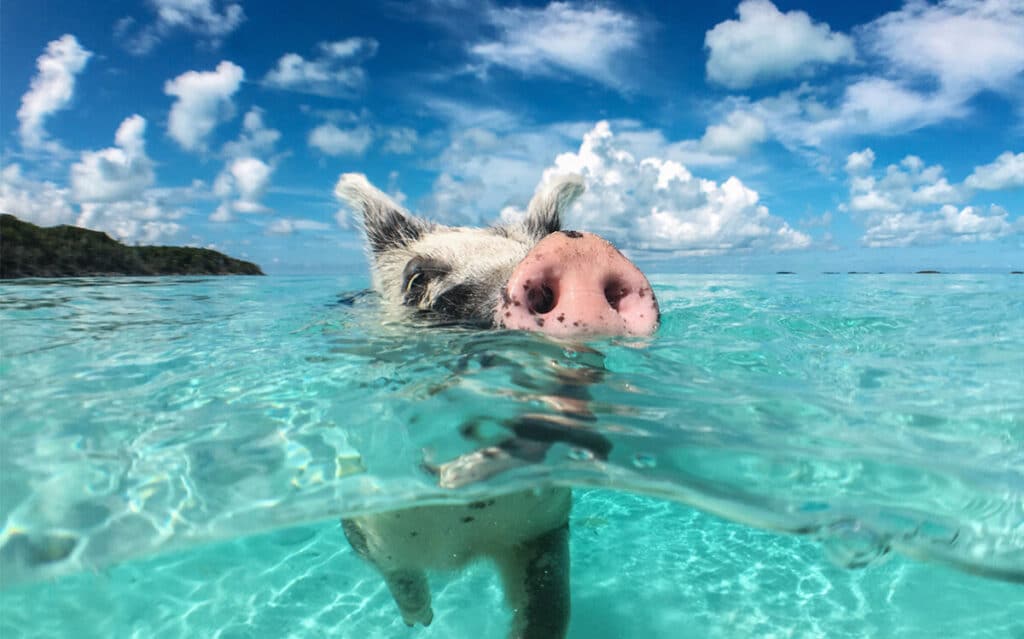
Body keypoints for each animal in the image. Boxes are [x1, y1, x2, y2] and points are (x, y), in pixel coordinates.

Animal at [334, 173, 659, 639]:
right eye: (416, 280)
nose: (577, 250)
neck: (459, 535)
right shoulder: (362, 517)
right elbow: (396, 573)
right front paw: (420, 619)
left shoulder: (545, 528)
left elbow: (549, 607)